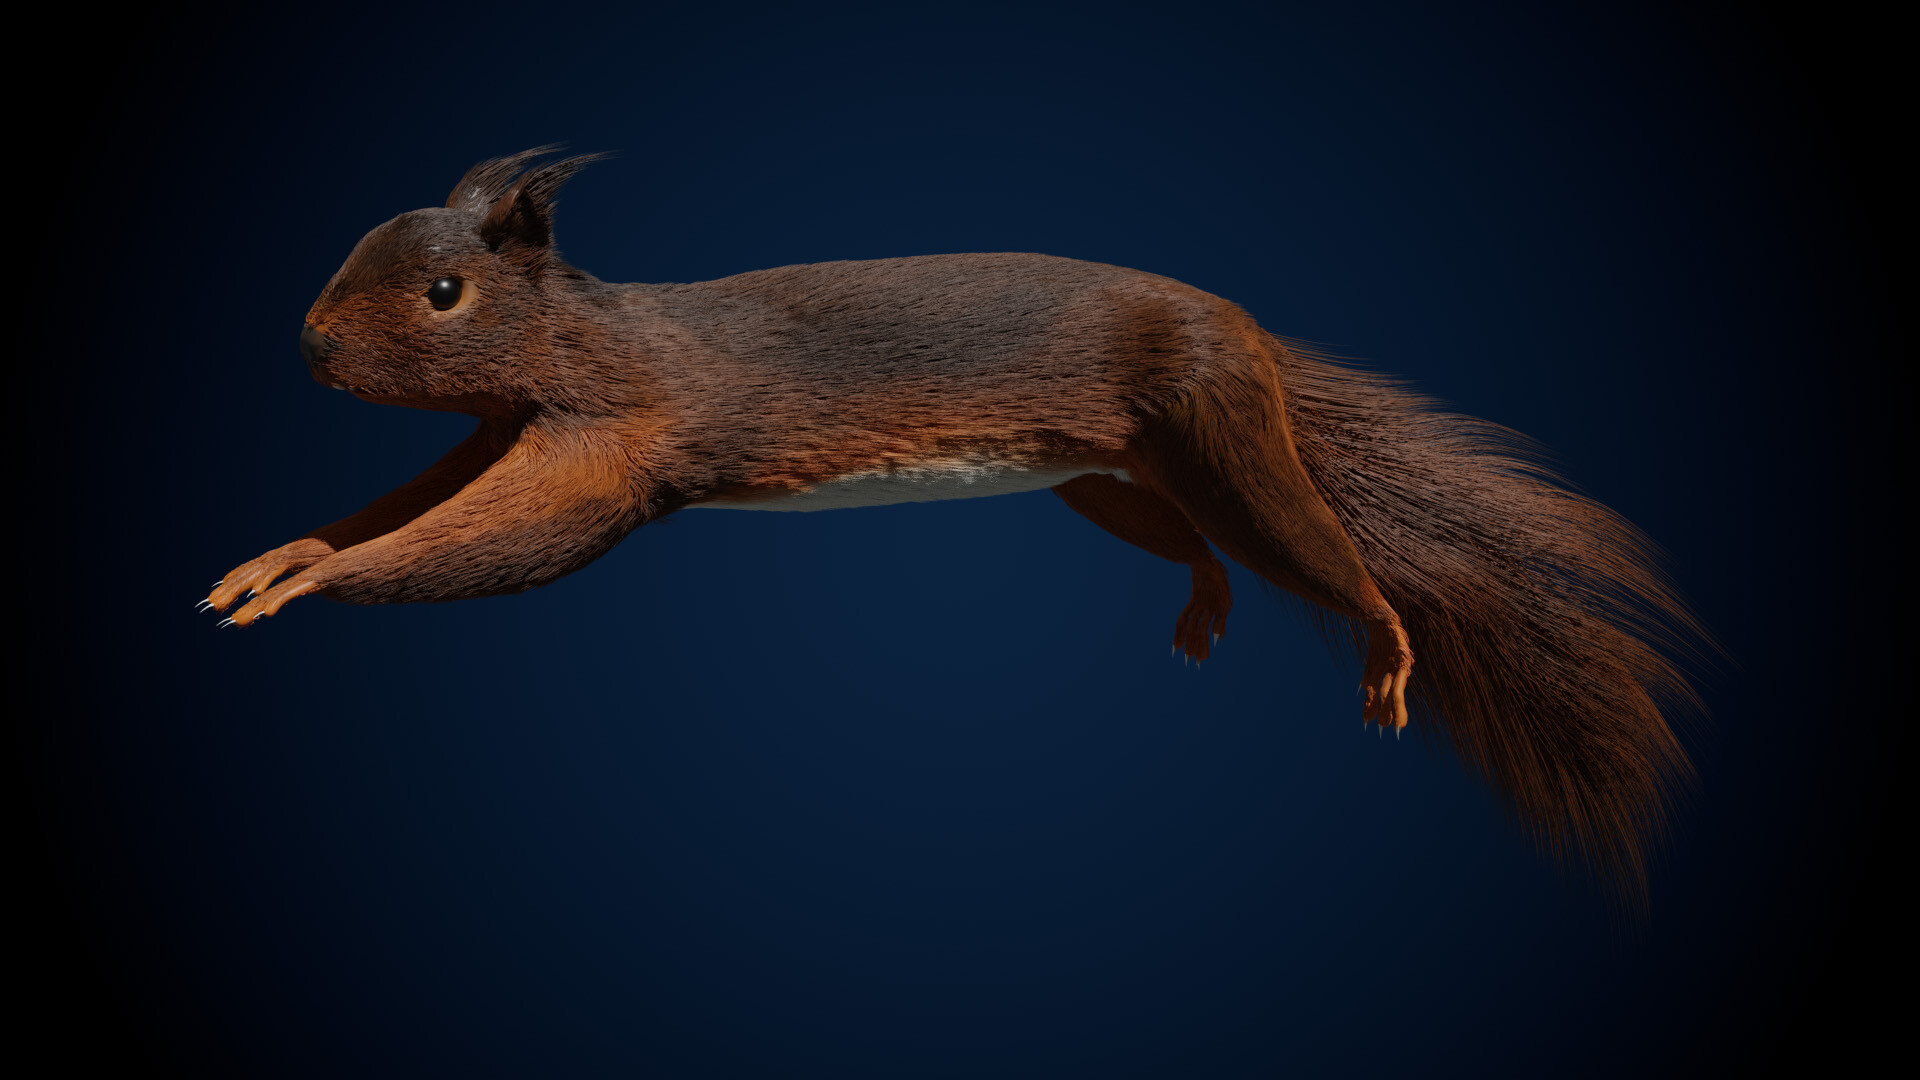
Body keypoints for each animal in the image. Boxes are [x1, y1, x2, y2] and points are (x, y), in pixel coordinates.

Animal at [204, 147, 1709, 906]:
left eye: (444, 292)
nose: (308, 347)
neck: (593, 340)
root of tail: (1249, 336)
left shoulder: (625, 441)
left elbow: (492, 538)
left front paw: (308, 584)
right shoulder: (506, 433)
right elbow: (409, 510)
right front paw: (286, 557)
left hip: (1218, 438)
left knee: (1312, 543)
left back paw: (1387, 642)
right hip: (1104, 476)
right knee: (1187, 536)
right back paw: (1206, 600)